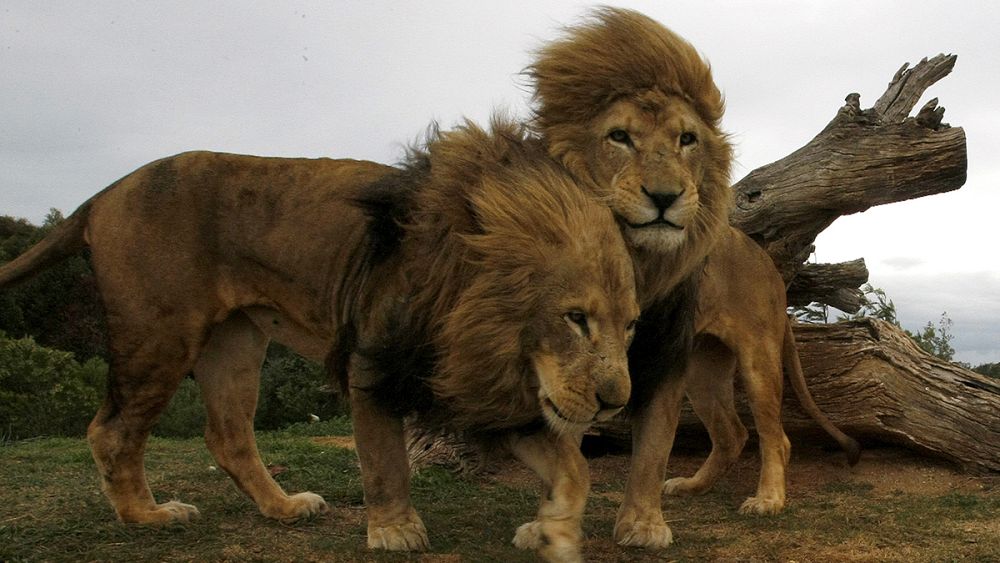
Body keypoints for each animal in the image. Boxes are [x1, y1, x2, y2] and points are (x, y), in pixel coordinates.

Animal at [0, 117, 639, 561]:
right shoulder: (375, 363)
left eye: (631, 324)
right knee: (111, 430)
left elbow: (575, 470)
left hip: (235, 342)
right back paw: (149, 516)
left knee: (227, 434)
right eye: (575, 318)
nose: (615, 403)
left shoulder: (487, 393)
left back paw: (283, 509)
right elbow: (383, 460)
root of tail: (101, 195)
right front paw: (394, 530)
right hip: (159, 332)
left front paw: (548, 529)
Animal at [527, 6, 859, 545]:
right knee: (732, 434)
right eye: (619, 137)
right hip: (706, 370)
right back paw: (692, 486)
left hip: (757, 360)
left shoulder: (666, 357)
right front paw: (546, 526)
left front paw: (643, 526)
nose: (665, 196)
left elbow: (653, 448)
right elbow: (561, 450)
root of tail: (766, 261)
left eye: (687, 140)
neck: (635, 260)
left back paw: (768, 500)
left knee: (774, 437)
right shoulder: (571, 360)